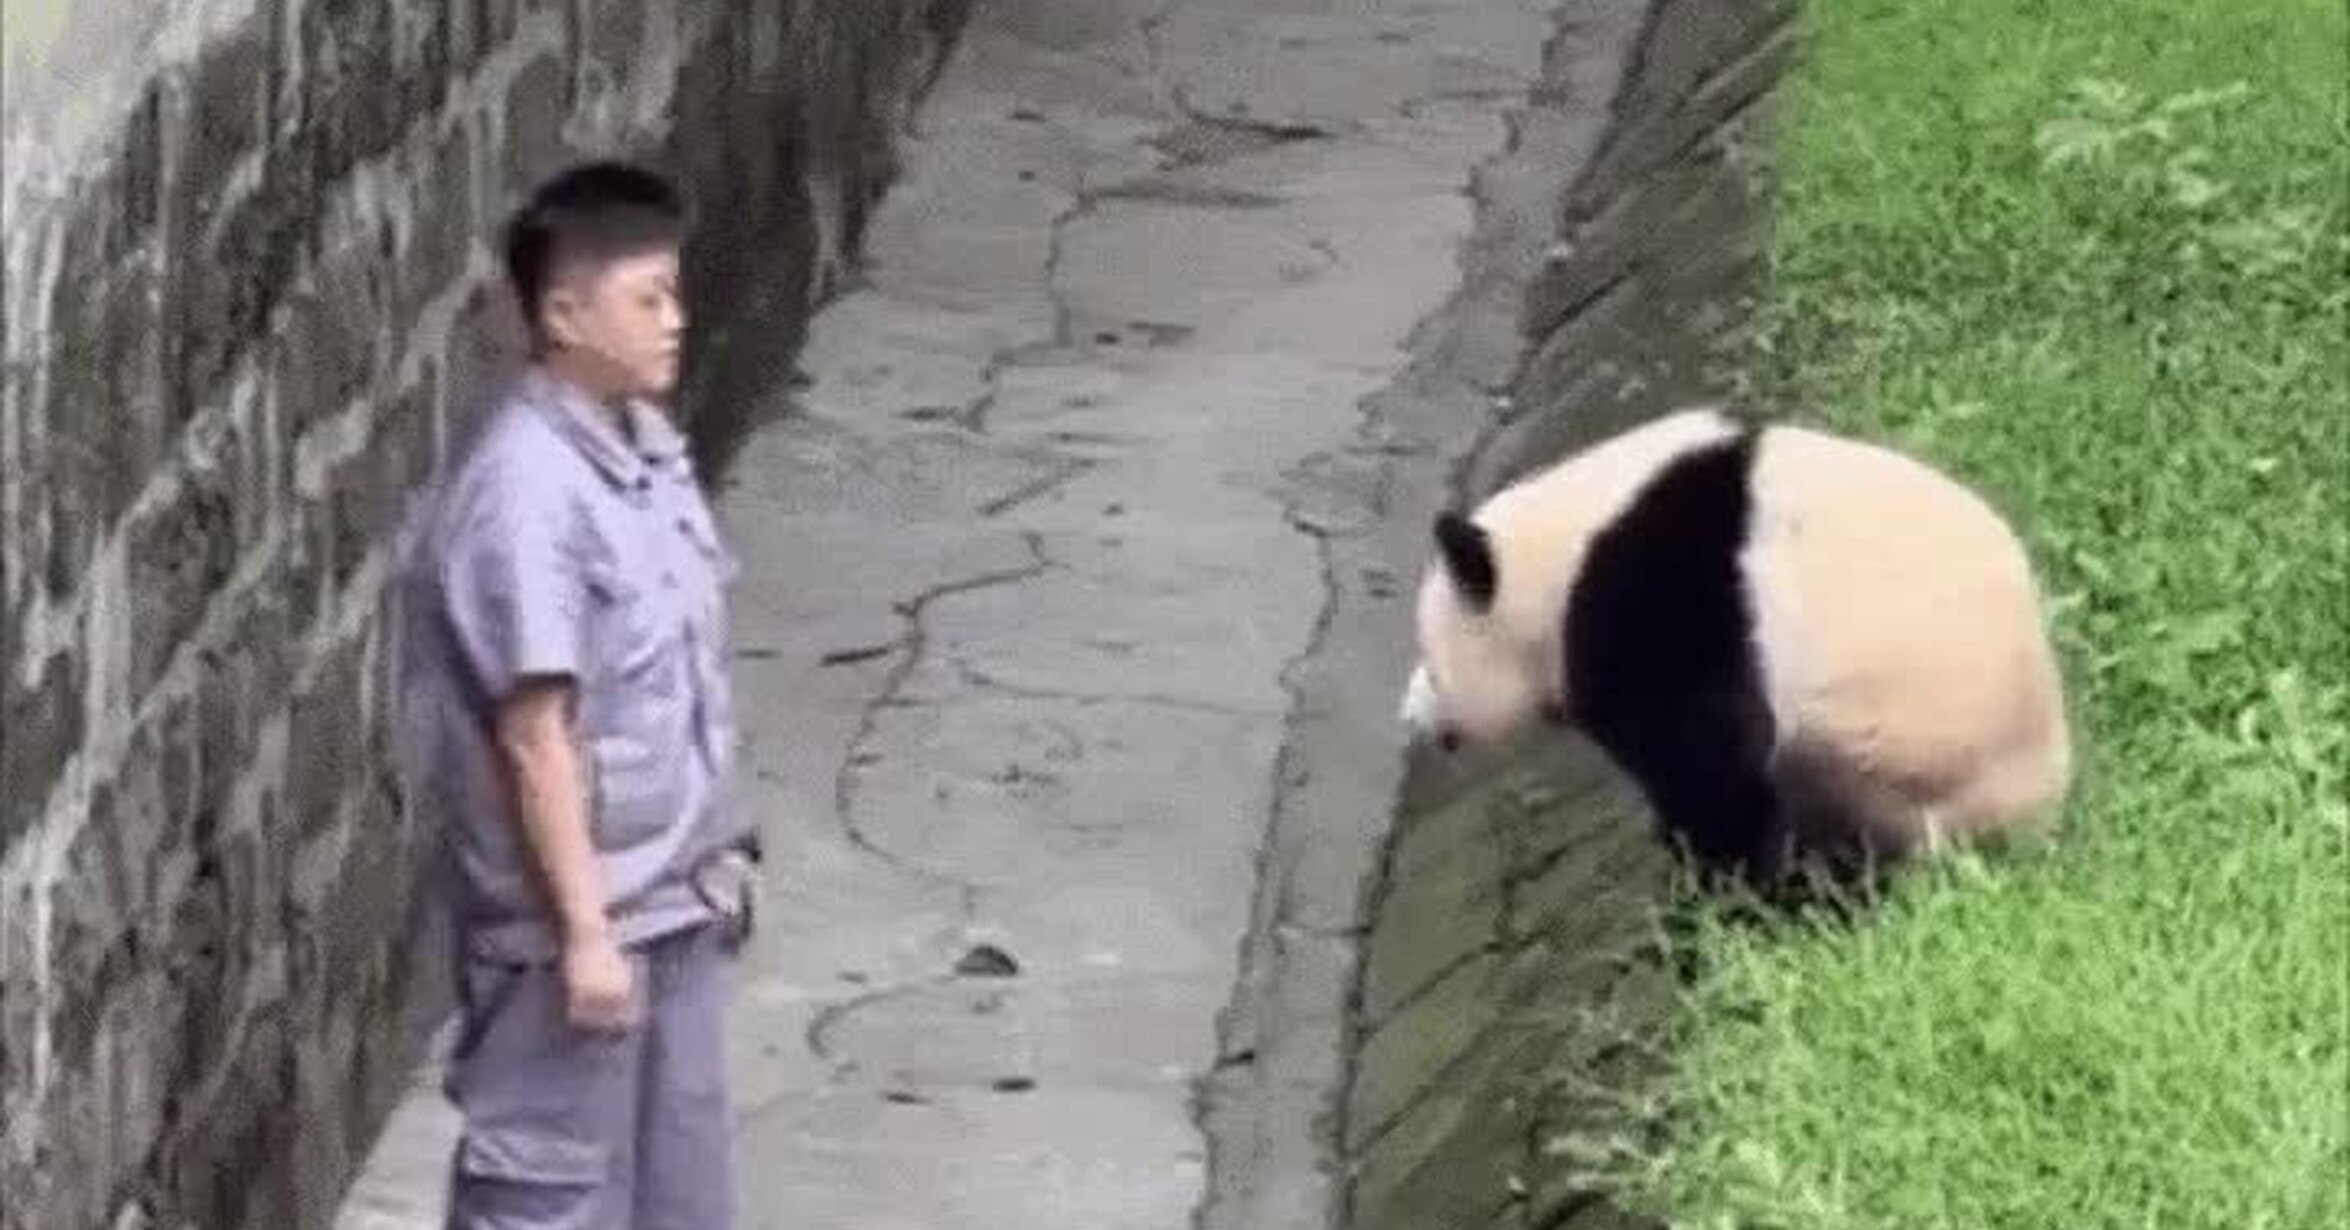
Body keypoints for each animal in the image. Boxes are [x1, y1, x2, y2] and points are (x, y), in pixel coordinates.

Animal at [1398, 405, 2074, 893]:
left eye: (1431, 661)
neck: (1561, 559)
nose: (1408, 715)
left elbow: (1708, 759)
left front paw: (1712, 880)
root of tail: (2042, 808)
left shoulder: (1661, 603)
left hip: (1894, 754)